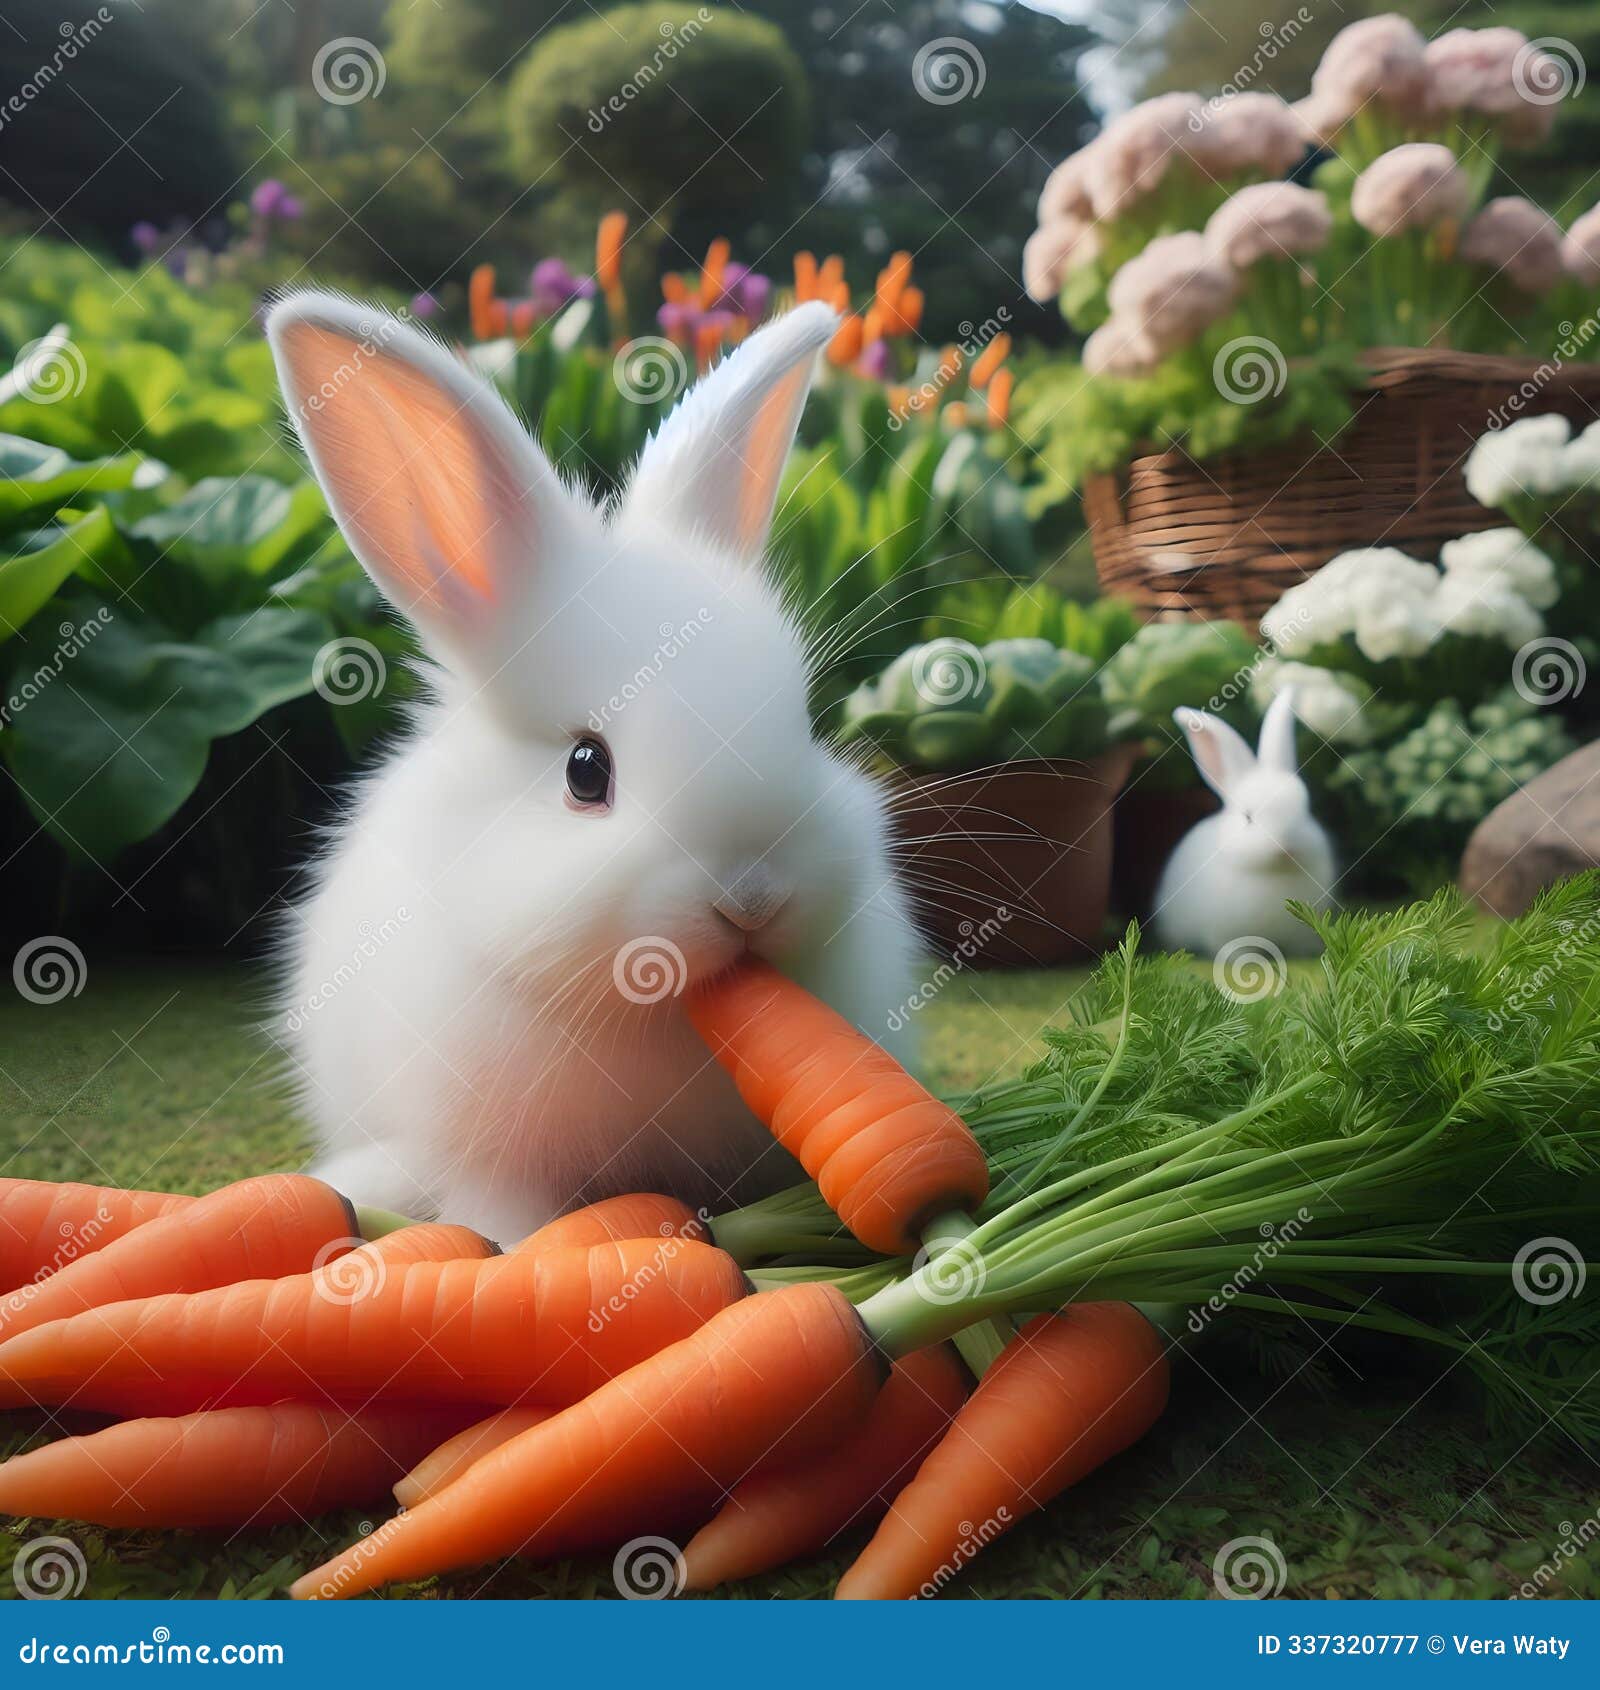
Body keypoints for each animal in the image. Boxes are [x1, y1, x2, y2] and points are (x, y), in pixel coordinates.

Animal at [263, 291, 921, 1245]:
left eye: (804, 726)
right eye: (585, 771)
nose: (751, 897)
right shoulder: (491, 1153)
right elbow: (510, 1216)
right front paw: (519, 1248)